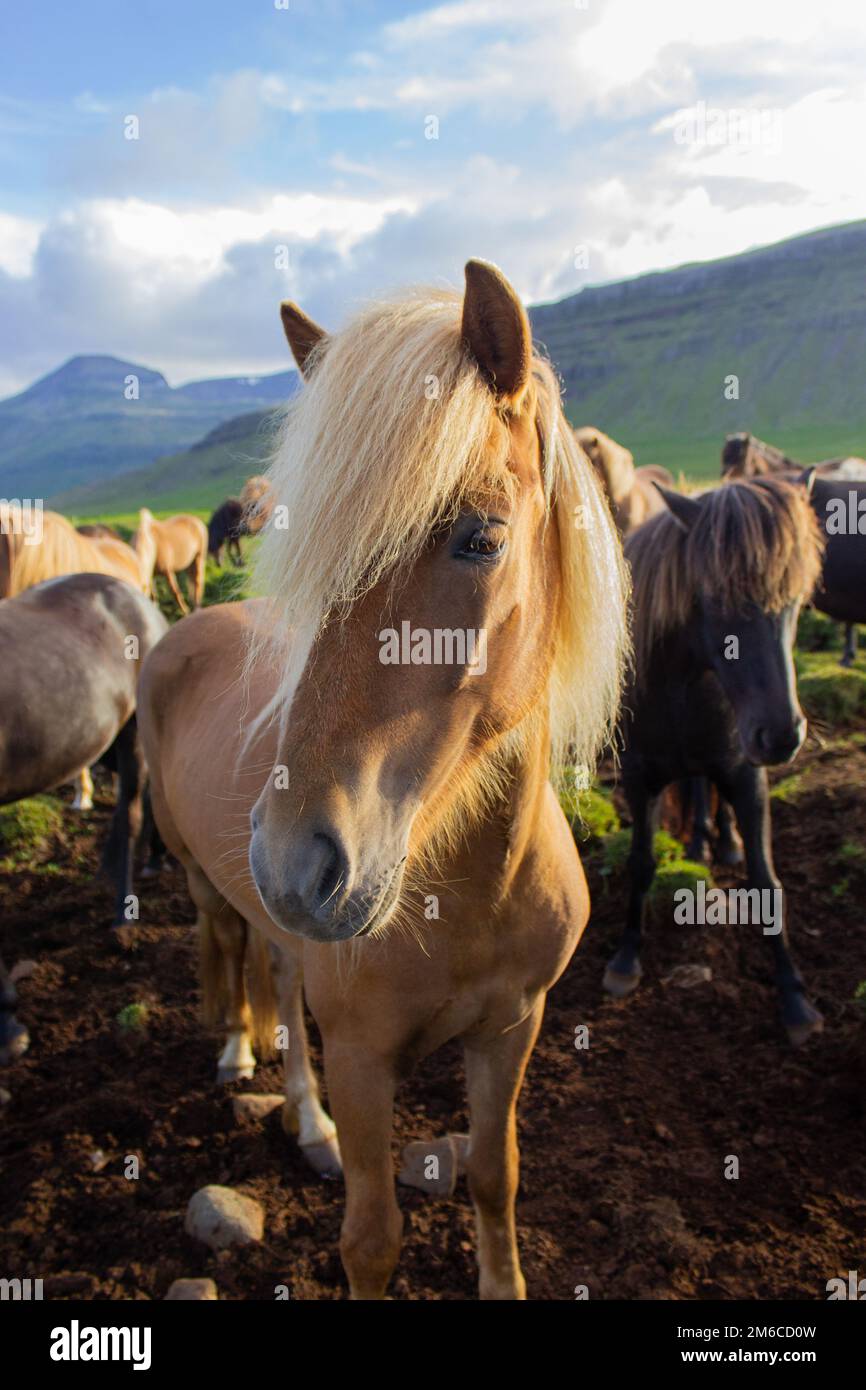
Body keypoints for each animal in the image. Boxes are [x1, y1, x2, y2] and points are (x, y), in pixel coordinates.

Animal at [138, 261, 629, 1300]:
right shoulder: (364, 1059)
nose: (296, 864)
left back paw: (304, 1116)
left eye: (482, 538)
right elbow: (371, 1239)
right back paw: (240, 1053)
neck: (470, 892)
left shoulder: (511, 1029)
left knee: (278, 970)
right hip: (205, 878)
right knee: (229, 948)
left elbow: (494, 1176)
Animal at [602, 476, 825, 1046]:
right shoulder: (638, 779)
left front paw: (795, 998)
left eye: (795, 603)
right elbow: (641, 862)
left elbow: (766, 881)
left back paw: (721, 840)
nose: (782, 736)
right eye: (715, 600)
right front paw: (626, 958)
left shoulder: (748, 778)